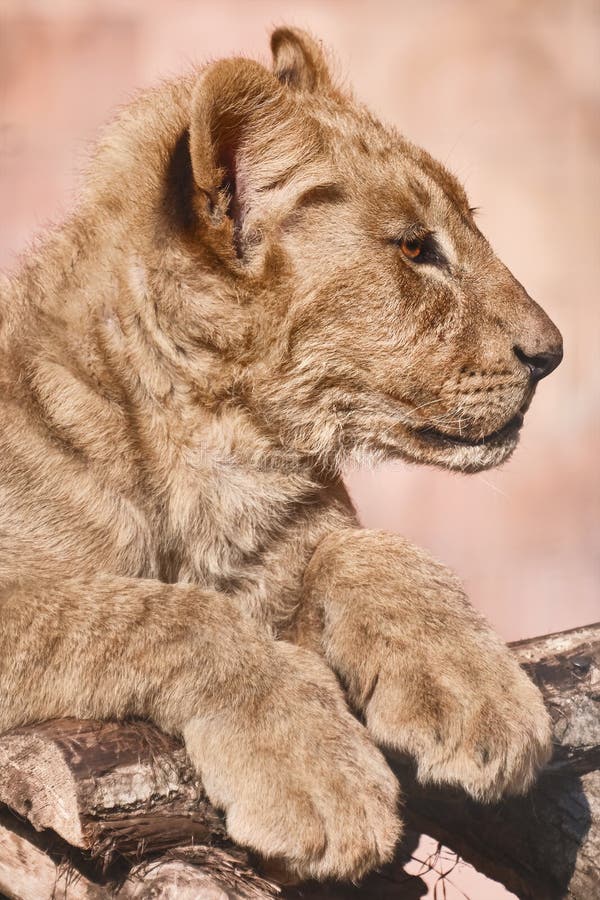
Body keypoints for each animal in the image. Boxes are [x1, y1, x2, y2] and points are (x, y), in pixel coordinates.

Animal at [0, 27, 562, 882]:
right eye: (414, 248)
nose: (552, 354)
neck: (221, 451)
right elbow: (164, 612)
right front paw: (318, 782)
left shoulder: (302, 536)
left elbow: (374, 550)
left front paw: (475, 697)